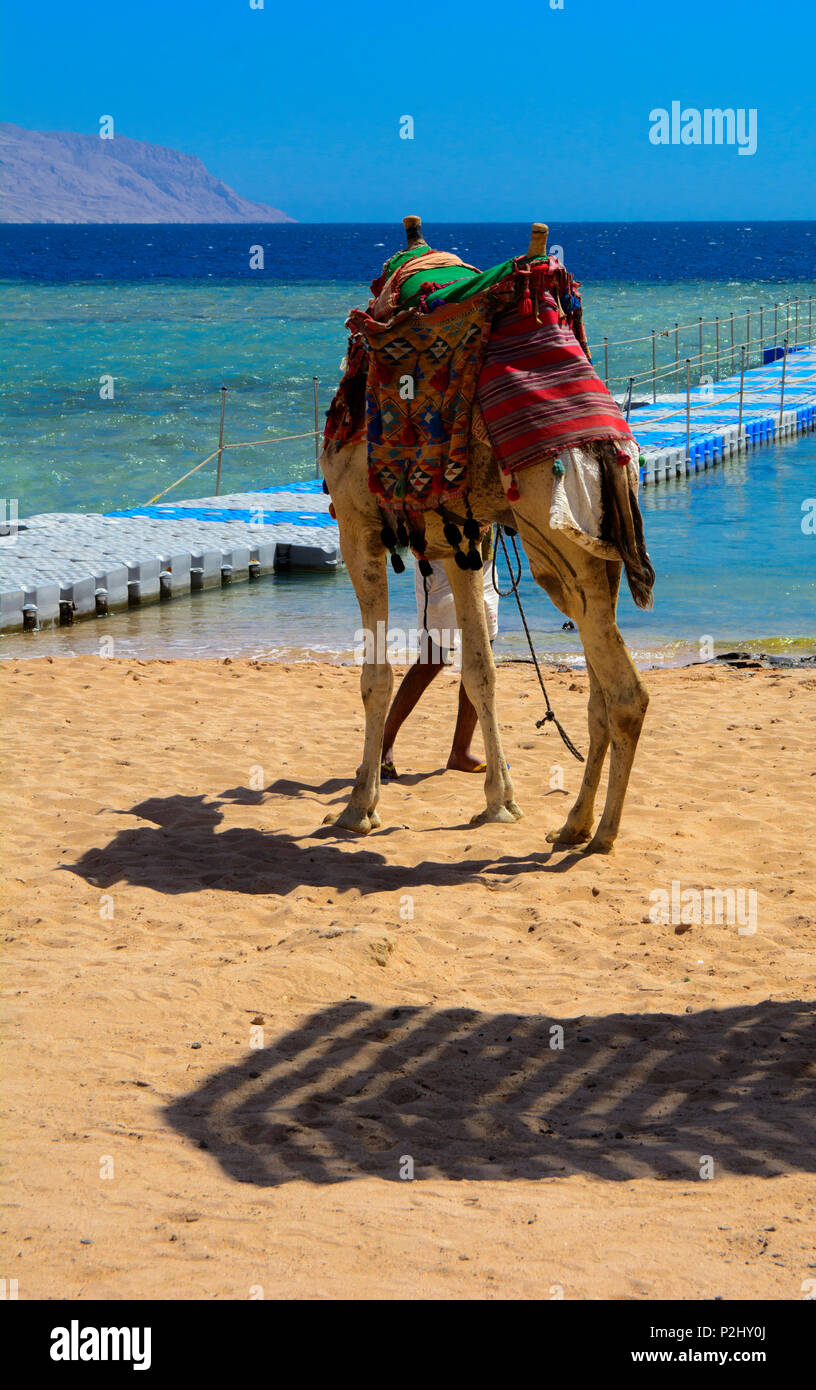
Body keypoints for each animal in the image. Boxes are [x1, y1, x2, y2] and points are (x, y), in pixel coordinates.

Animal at [320, 221, 652, 855]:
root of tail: (608, 450)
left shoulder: (358, 529)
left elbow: (376, 677)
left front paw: (359, 807)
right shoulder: (460, 541)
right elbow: (481, 670)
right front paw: (500, 802)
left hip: (559, 532)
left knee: (625, 695)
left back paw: (602, 835)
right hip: (579, 557)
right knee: (600, 694)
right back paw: (573, 824)